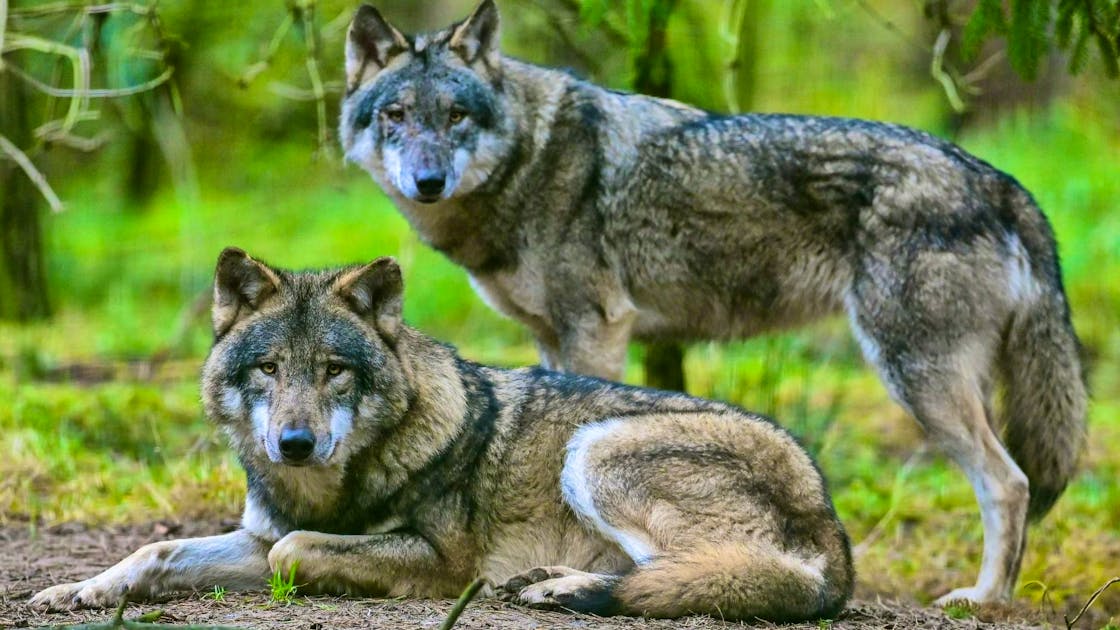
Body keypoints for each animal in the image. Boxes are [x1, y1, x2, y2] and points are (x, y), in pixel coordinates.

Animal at [30, 247, 853, 622]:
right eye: (268, 368)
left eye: (334, 371)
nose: (294, 443)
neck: (331, 487)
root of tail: (831, 521)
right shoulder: (258, 534)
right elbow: (159, 551)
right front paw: (76, 589)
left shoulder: (440, 561)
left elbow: (296, 552)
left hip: (597, 448)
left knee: (713, 575)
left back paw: (564, 588)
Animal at [337, 0, 1088, 605]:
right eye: (396, 116)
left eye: (456, 116)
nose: (428, 181)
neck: (532, 157)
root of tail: (998, 179)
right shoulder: (554, 339)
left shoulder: (595, 331)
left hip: (915, 378)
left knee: (1010, 483)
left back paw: (984, 599)